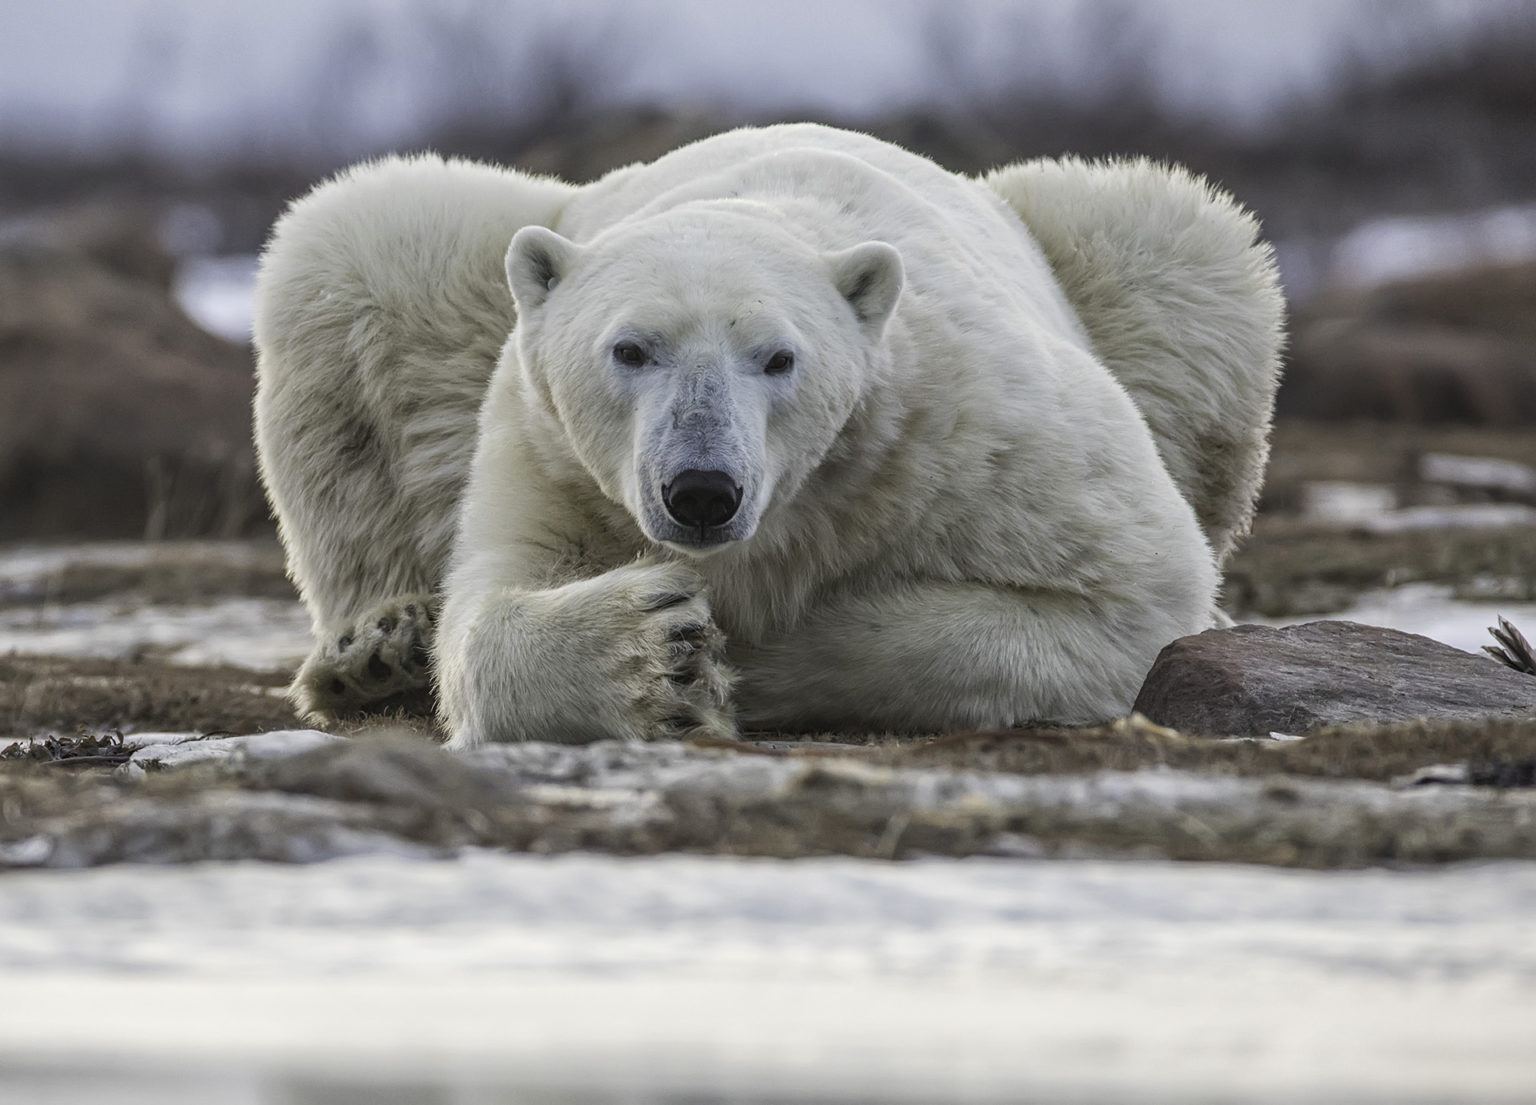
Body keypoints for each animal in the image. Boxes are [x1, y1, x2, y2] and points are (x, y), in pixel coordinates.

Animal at [252, 123, 1284, 746]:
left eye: (779, 358)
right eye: (630, 348)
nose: (702, 490)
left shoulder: (982, 433)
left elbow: (1129, 595)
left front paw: (738, 653)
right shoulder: (549, 455)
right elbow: (492, 609)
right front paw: (659, 650)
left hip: (1122, 259)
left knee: (1179, 241)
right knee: (363, 238)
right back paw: (377, 649)